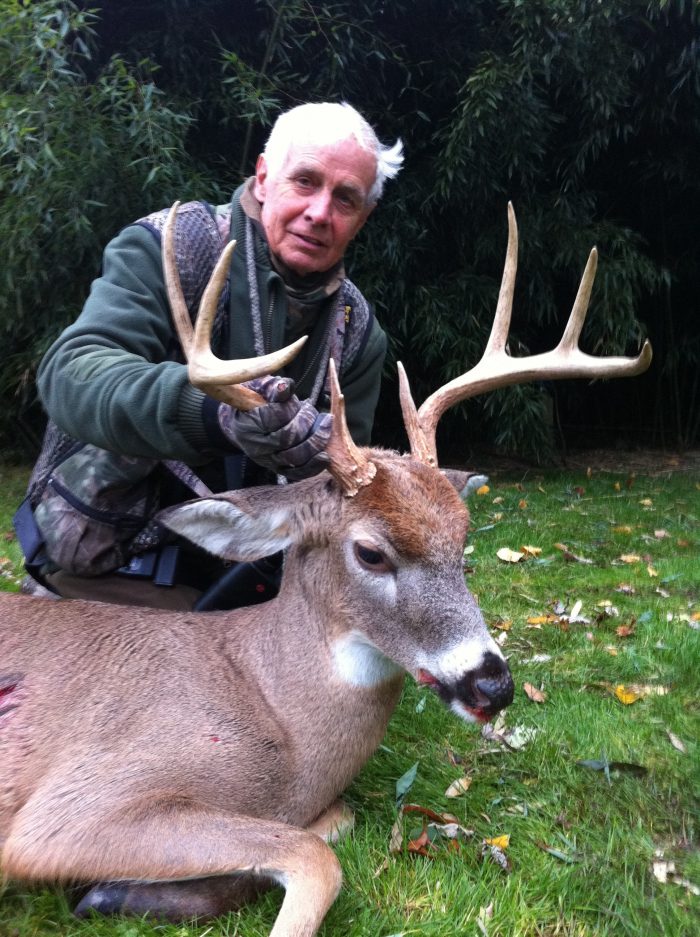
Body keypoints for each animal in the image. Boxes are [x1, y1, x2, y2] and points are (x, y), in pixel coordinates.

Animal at [0, 203, 651, 937]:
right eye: (370, 551)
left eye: (463, 541)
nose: (492, 683)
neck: (276, 715)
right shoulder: (76, 800)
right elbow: (317, 857)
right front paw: (110, 891)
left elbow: (329, 827)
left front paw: (114, 892)